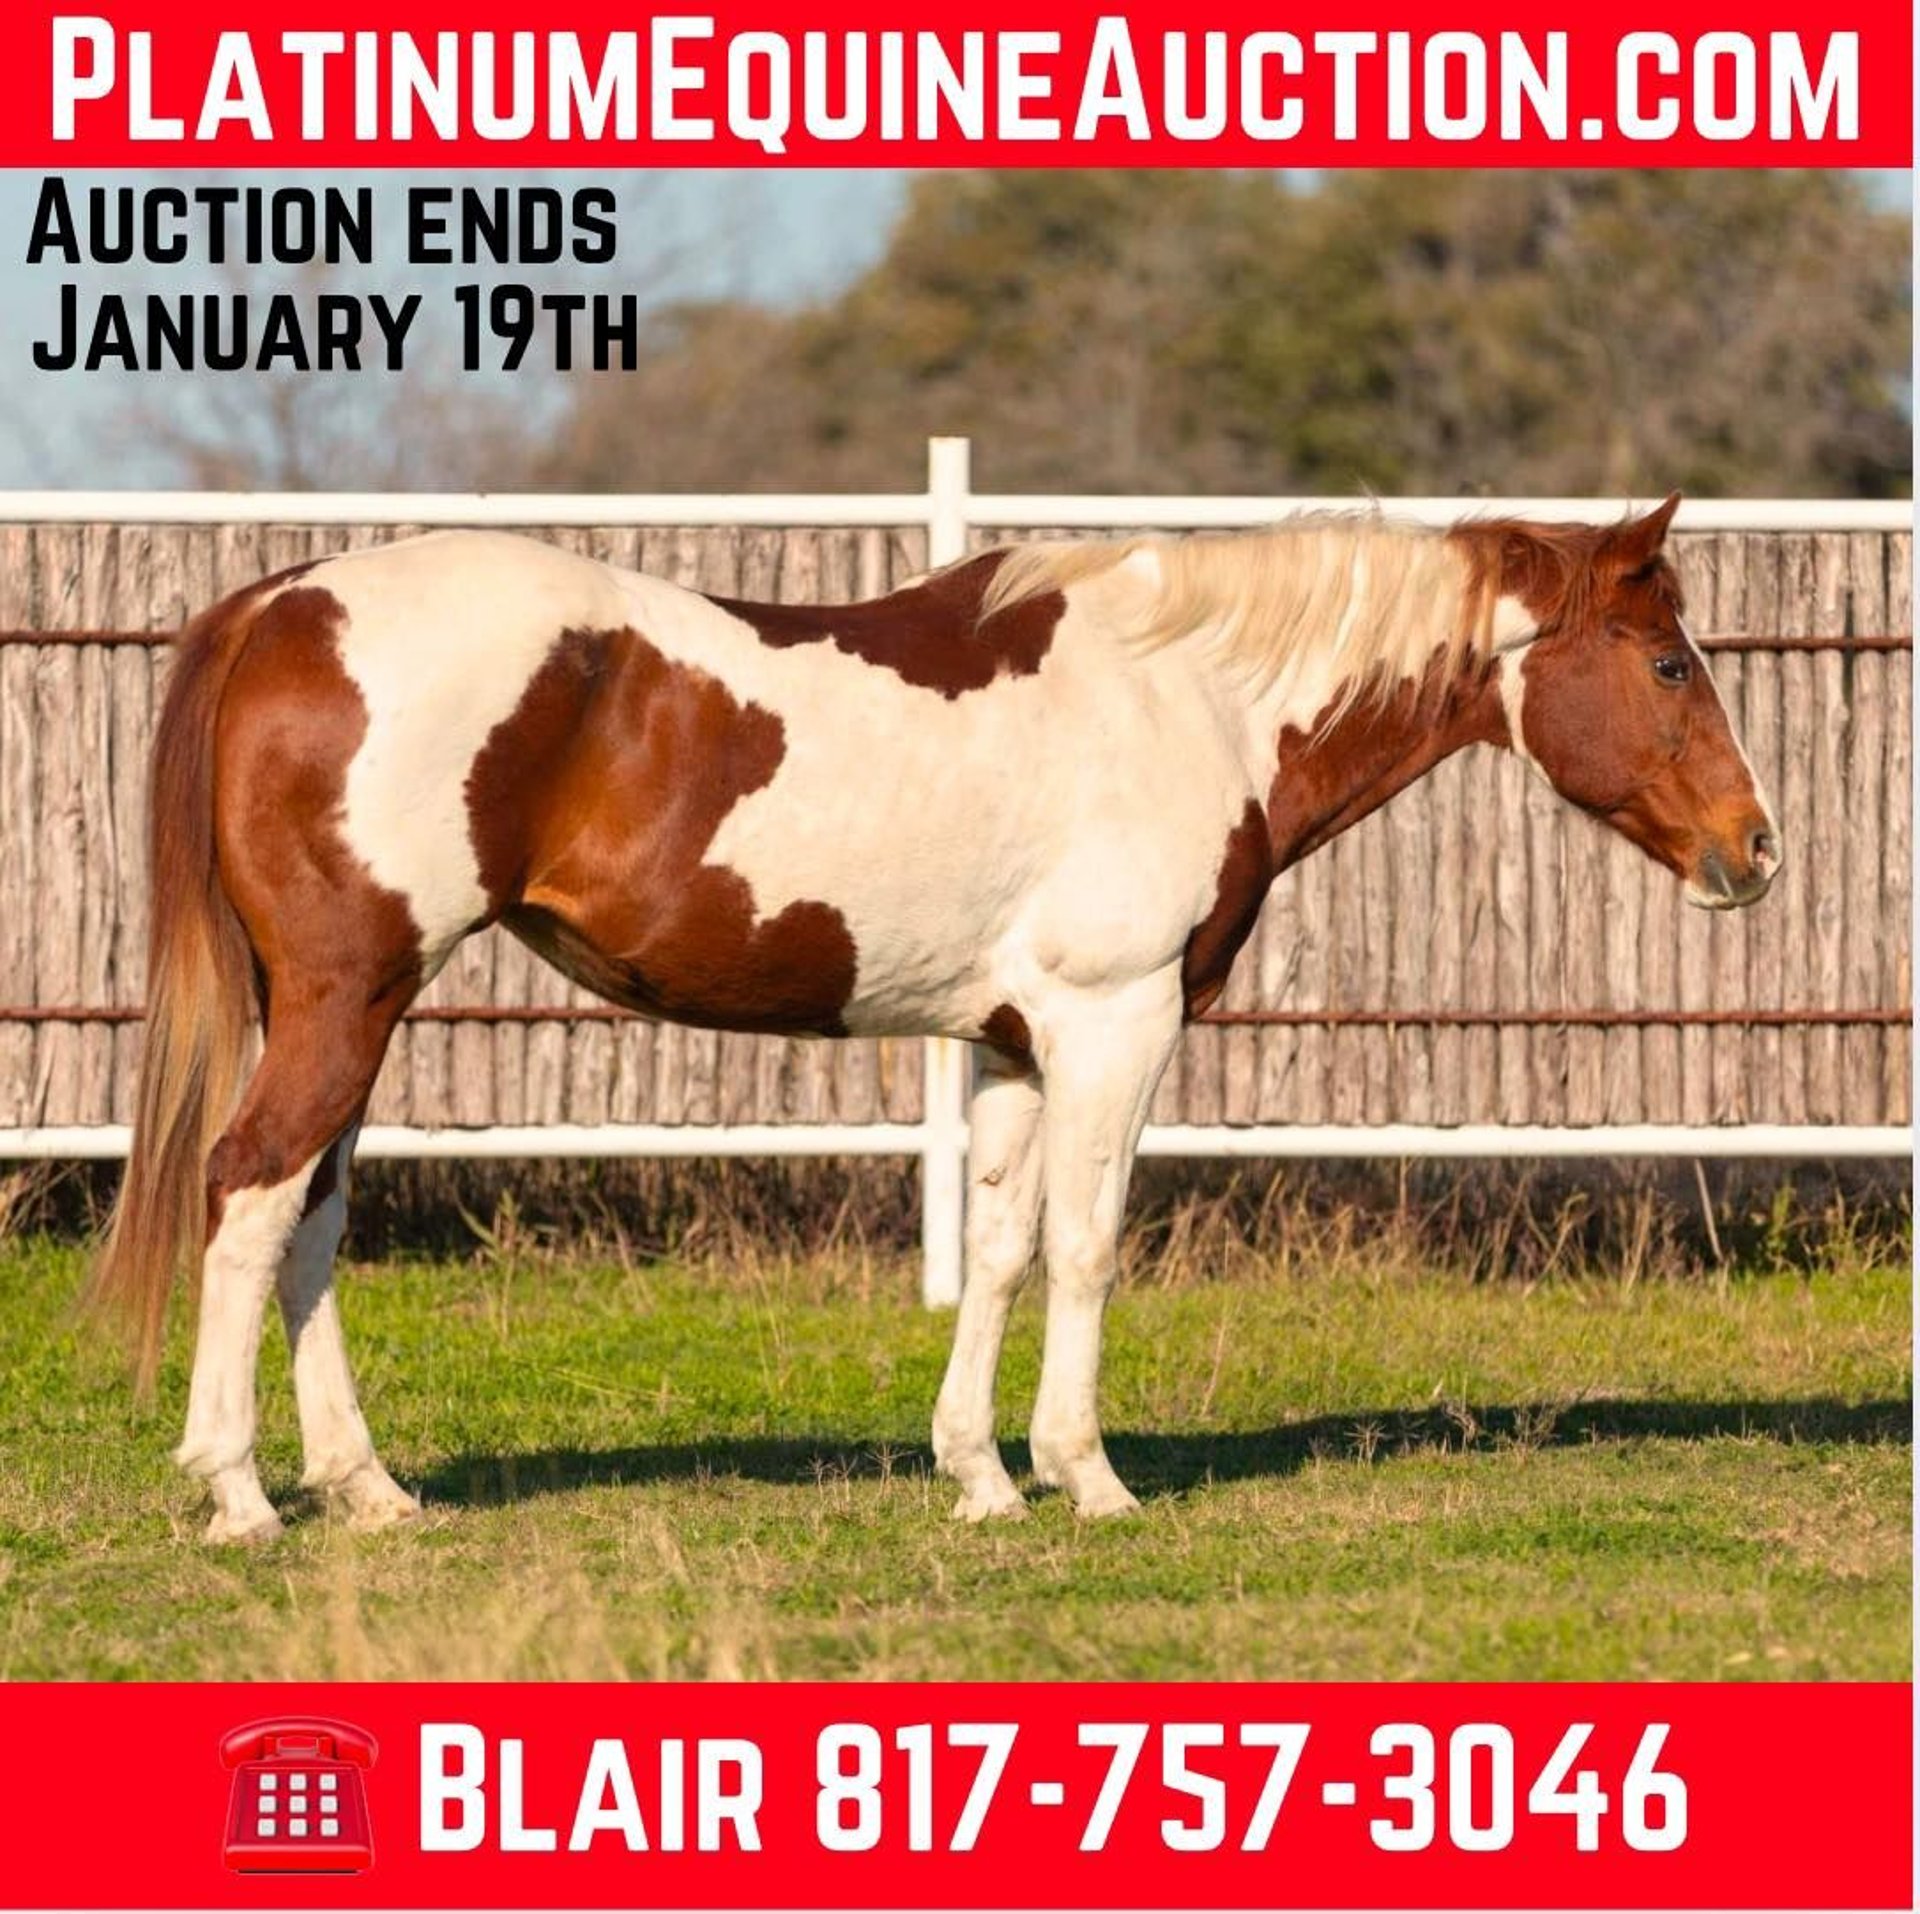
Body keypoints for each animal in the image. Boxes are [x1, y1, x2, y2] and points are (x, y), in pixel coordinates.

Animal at [89, 493, 1779, 1541]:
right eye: (1667, 660)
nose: (1755, 849)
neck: (1190, 697)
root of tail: (282, 603)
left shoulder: (1014, 1039)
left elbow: (1007, 1242)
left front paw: (980, 1475)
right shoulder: (1114, 1022)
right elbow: (1090, 1244)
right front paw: (1087, 1476)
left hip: (357, 1009)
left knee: (308, 1218)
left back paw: (365, 1488)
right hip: (343, 999)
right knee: (250, 1194)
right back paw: (239, 1492)